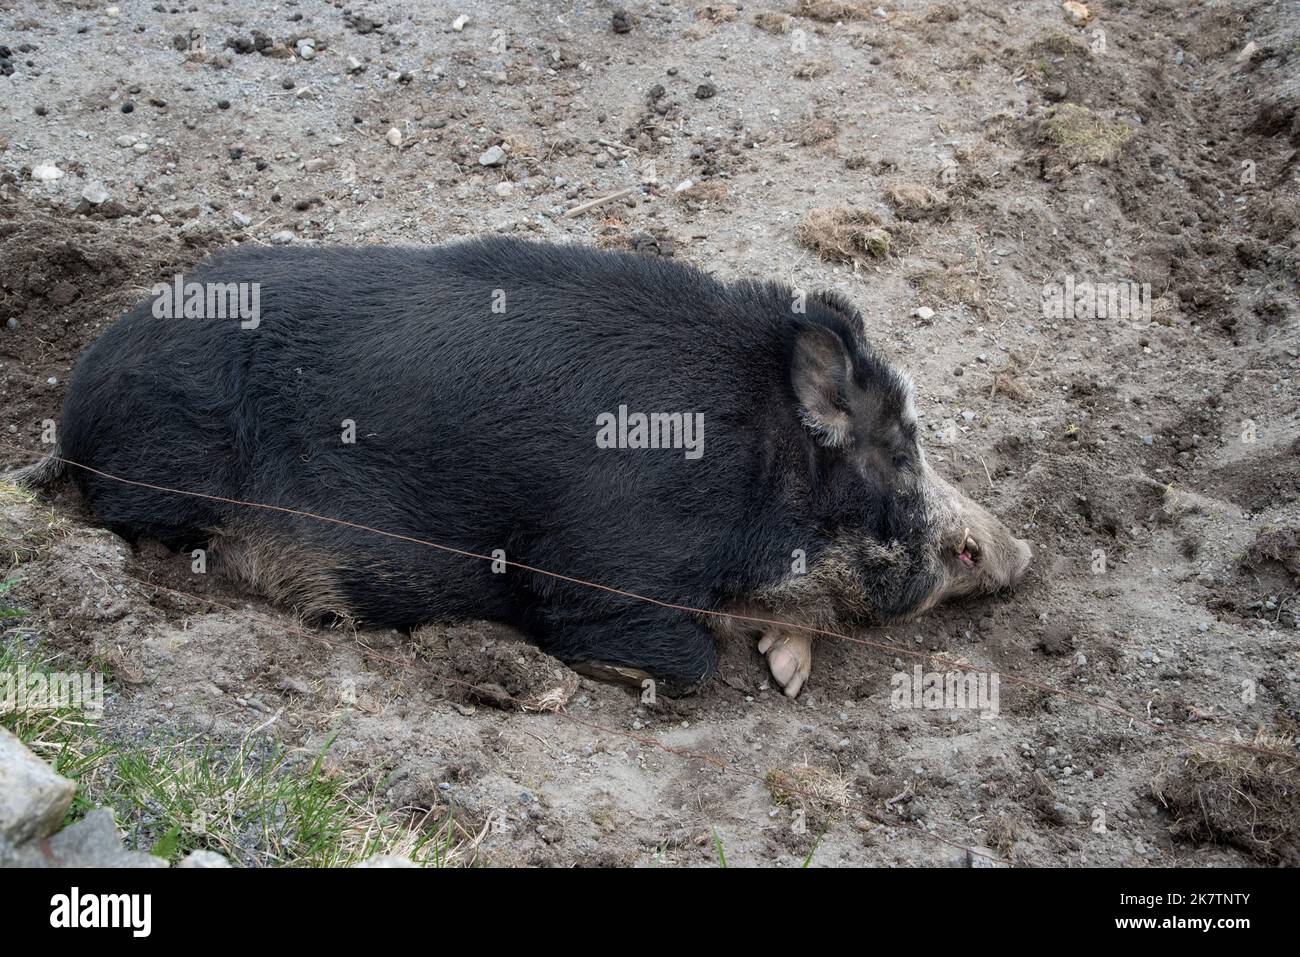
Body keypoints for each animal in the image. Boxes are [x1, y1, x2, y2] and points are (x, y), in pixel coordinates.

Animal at [22, 238, 1031, 696]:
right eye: (896, 451)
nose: (1020, 551)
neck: (755, 463)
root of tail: (73, 405)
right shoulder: (601, 566)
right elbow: (685, 658)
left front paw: (787, 668)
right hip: (164, 472)